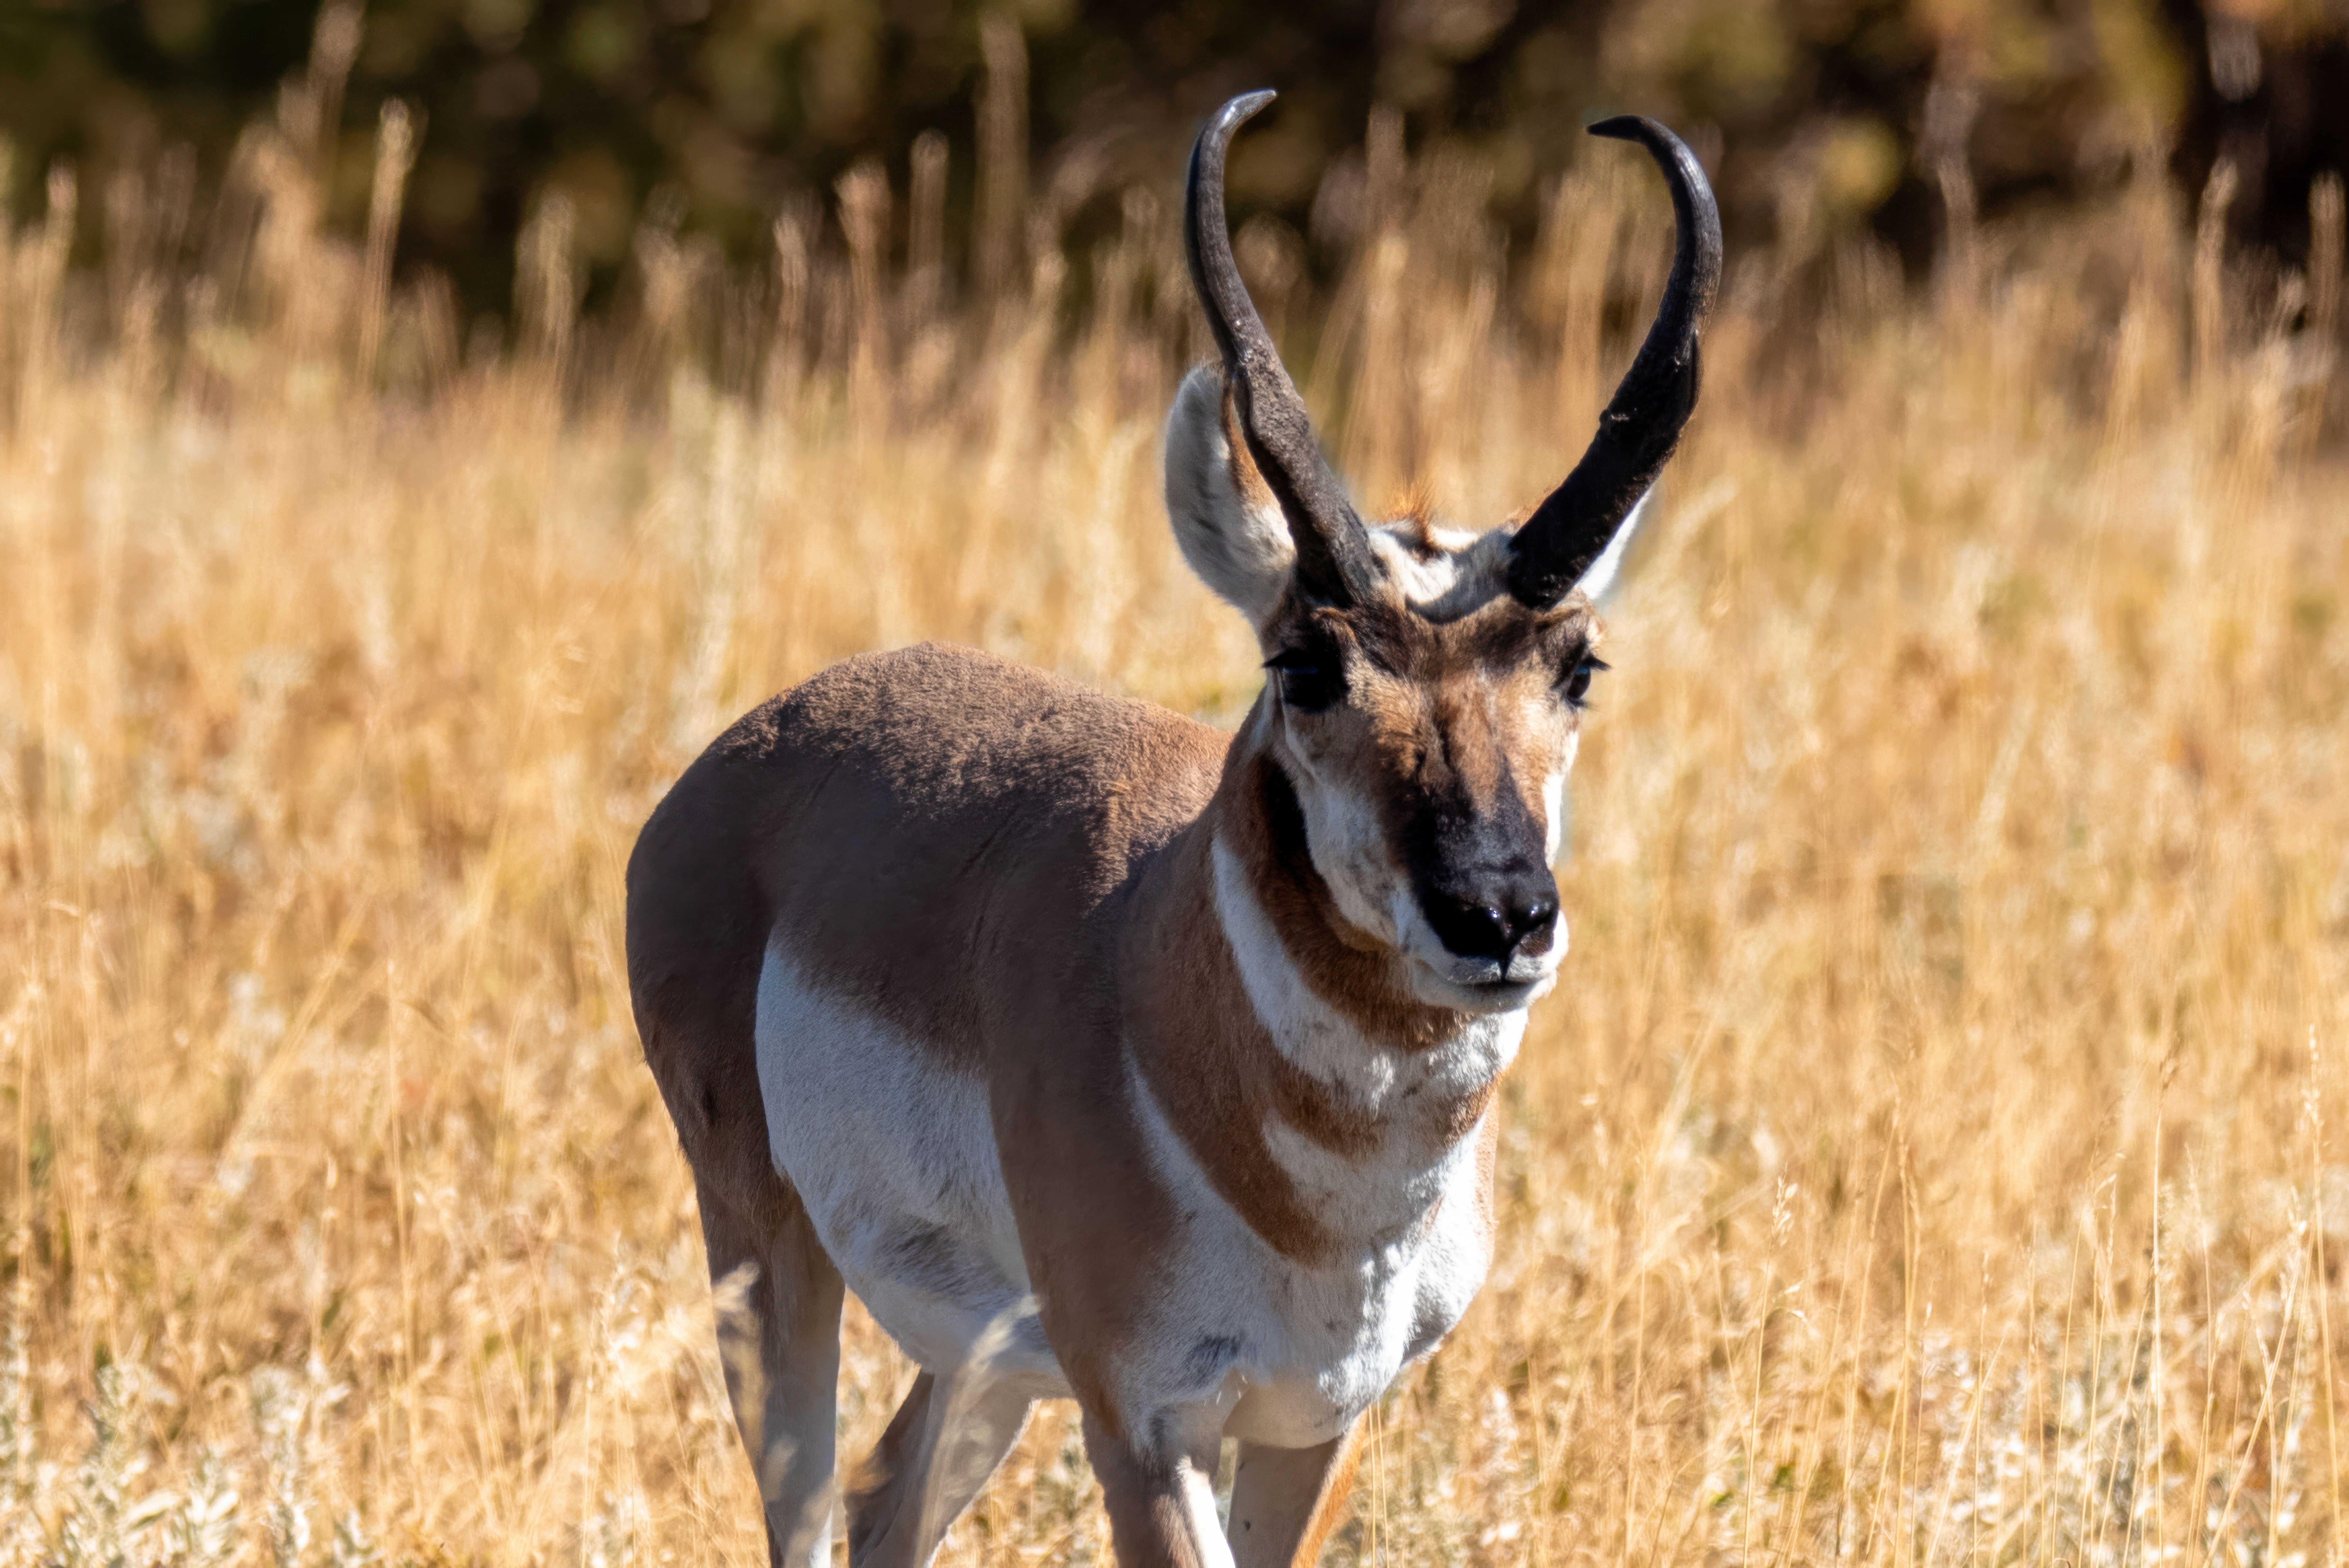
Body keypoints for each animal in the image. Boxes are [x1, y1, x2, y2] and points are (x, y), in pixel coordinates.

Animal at [626, 91, 1720, 1568]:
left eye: (1578, 664)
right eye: (1306, 664)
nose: (1497, 915)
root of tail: (751, 752)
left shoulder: (1310, 1423)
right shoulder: (1141, 1426)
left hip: (987, 1359)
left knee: (885, 1495)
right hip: (768, 1256)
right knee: (804, 1506)